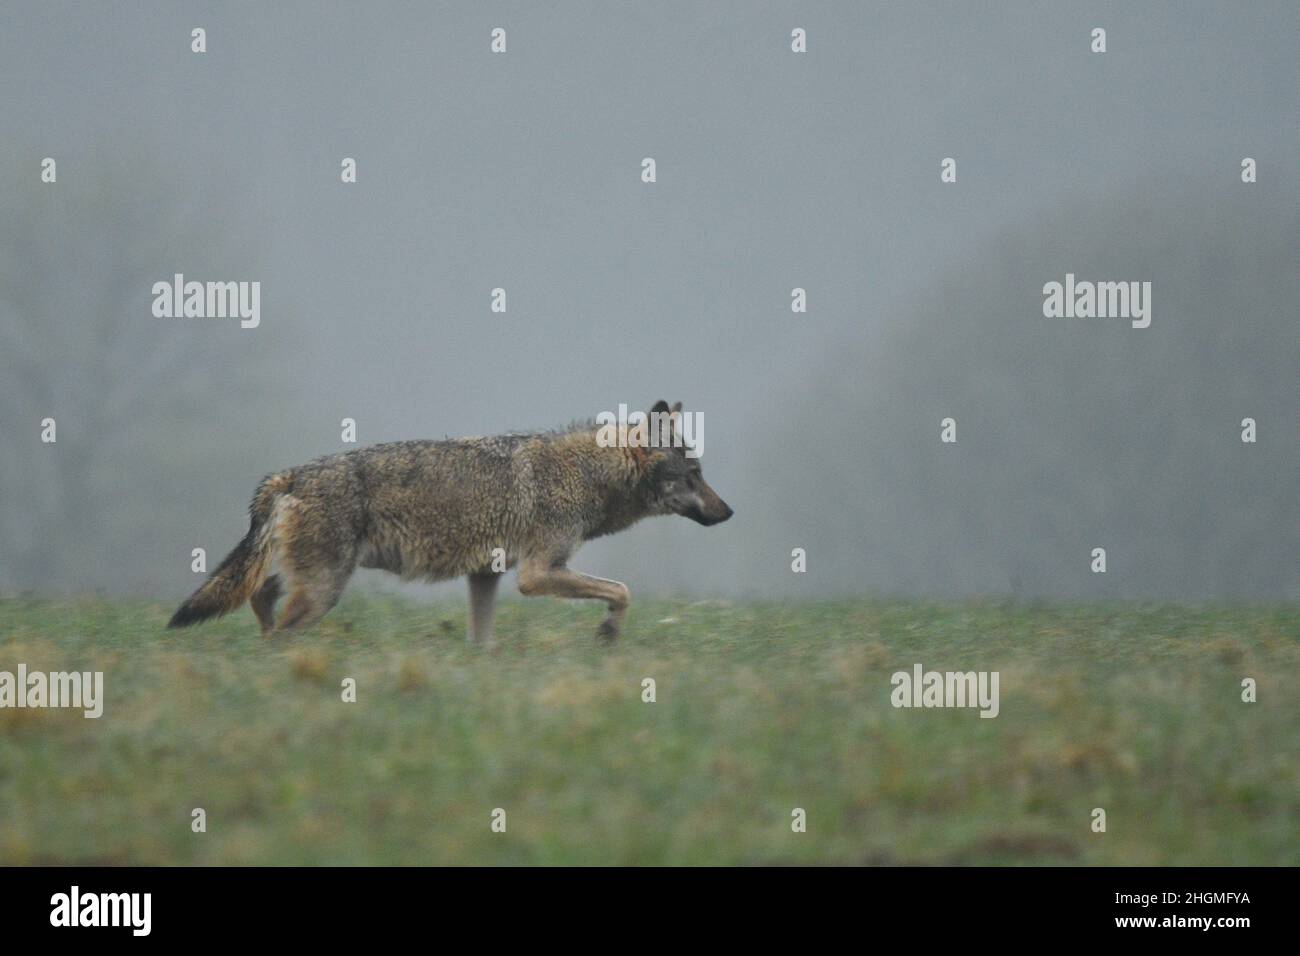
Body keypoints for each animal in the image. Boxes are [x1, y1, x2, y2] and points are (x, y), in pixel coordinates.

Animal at [168, 401, 732, 642]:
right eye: (695, 475)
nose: (729, 512)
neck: (586, 473)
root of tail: (288, 476)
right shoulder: (537, 575)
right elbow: (622, 590)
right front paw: (610, 631)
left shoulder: (486, 576)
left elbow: (481, 641)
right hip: (324, 591)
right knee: (277, 626)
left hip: (306, 582)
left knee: (260, 598)